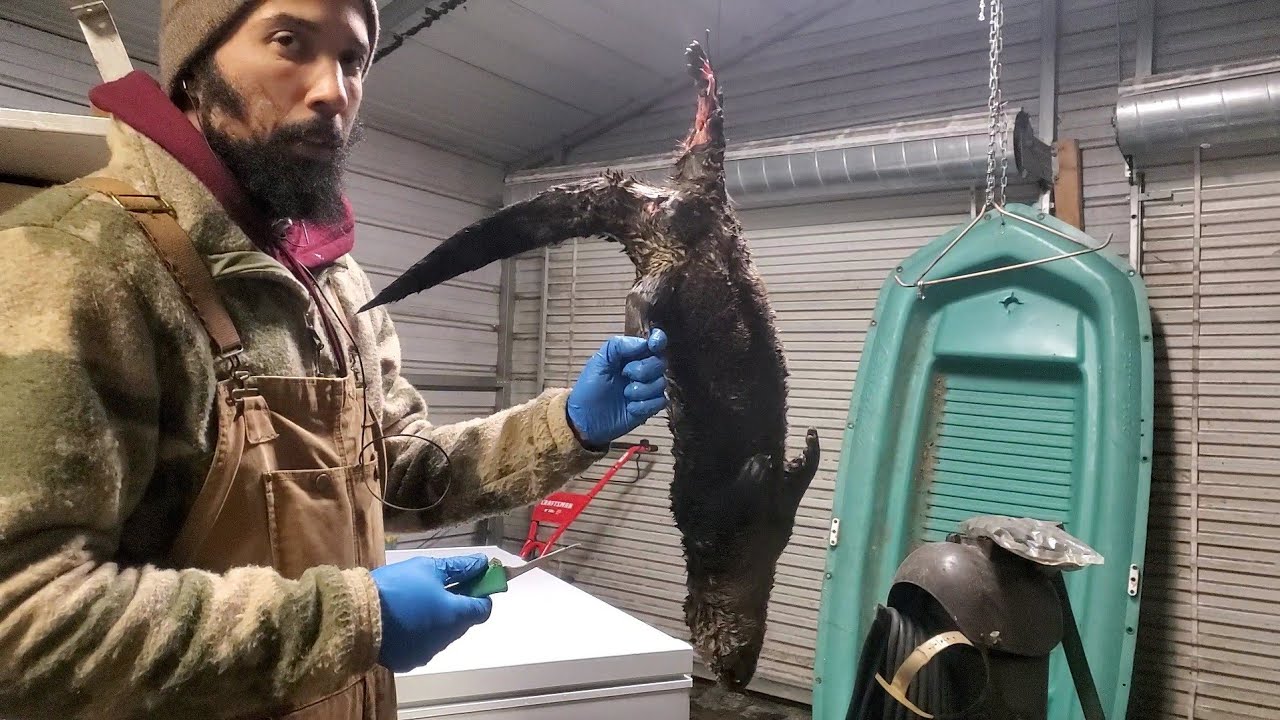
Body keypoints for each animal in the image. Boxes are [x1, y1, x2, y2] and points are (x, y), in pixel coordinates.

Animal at [360, 41, 820, 690]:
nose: (736, 674)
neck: (736, 545)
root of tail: (660, 207)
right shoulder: (717, 505)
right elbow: (759, 479)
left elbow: (789, 481)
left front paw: (802, 450)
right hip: (671, 256)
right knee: (651, 284)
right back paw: (639, 336)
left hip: (695, 207)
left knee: (705, 151)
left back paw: (702, 73)